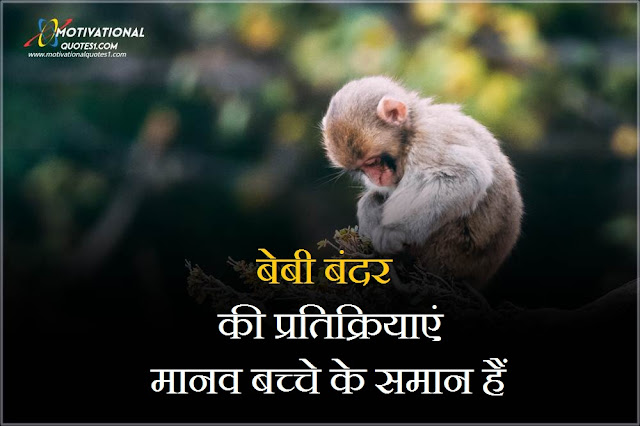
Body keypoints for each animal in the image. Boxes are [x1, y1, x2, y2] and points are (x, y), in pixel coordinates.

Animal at [321, 76, 523, 287]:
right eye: (362, 169)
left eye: (372, 162)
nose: (375, 177)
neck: (412, 129)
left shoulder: (428, 142)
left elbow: (469, 176)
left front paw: (396, 231)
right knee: (374, 197)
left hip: (448, 251)